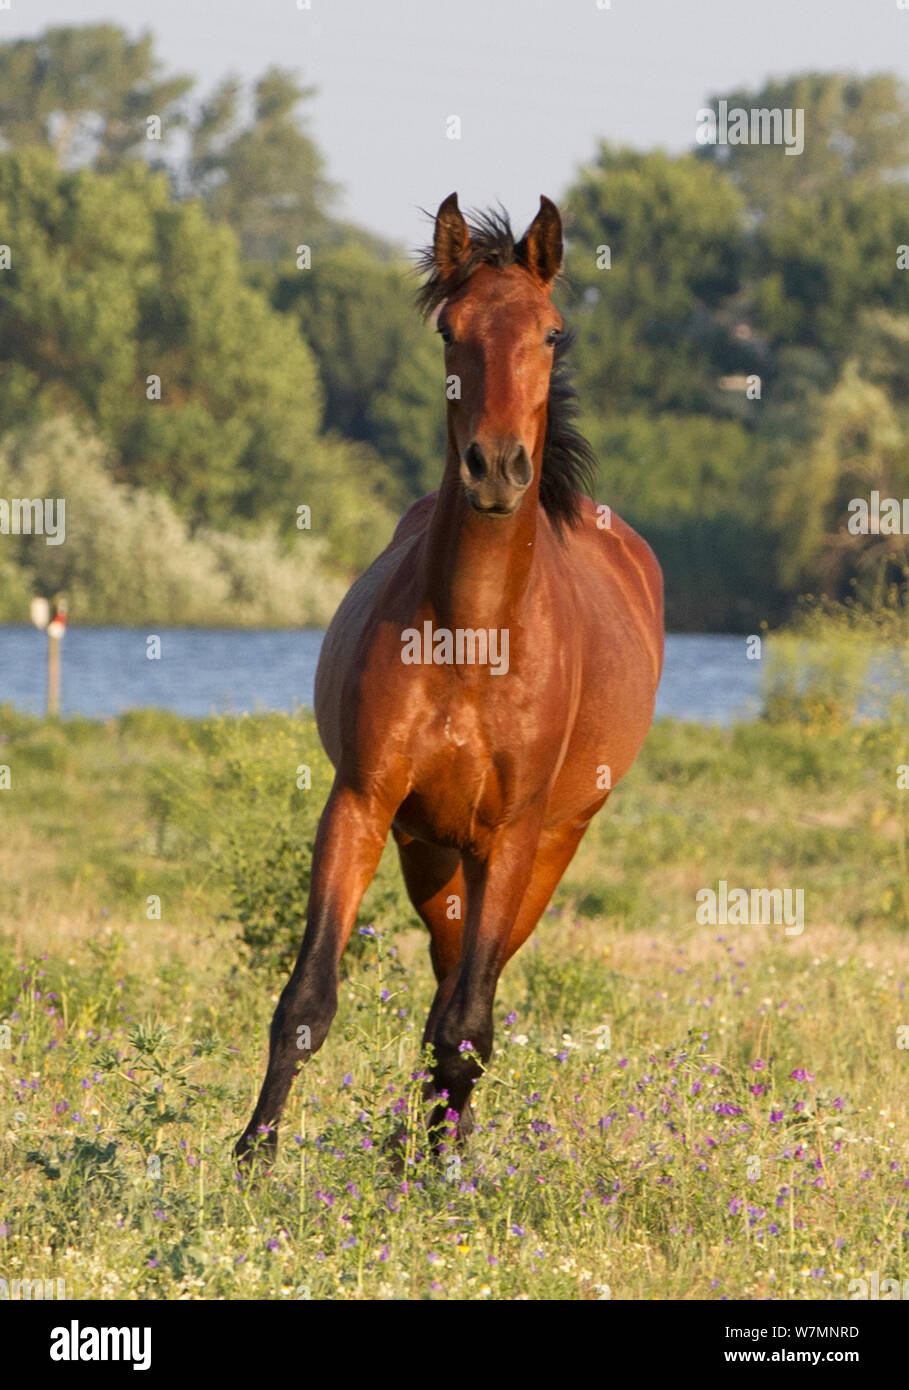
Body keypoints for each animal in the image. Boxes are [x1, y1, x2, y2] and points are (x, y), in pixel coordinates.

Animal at [236, 193, 663, 1165]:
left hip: (541, 851)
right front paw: (252, 1158)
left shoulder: (512, 836)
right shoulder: (362, 804)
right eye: (449, 332)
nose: (497, 468)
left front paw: (448, 1172)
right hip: (431, 852)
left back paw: (441, 1147)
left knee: (473, 992)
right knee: (443, 974)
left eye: (550, 332)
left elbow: (469, 1023)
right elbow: (307, 1000)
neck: (473, 640)